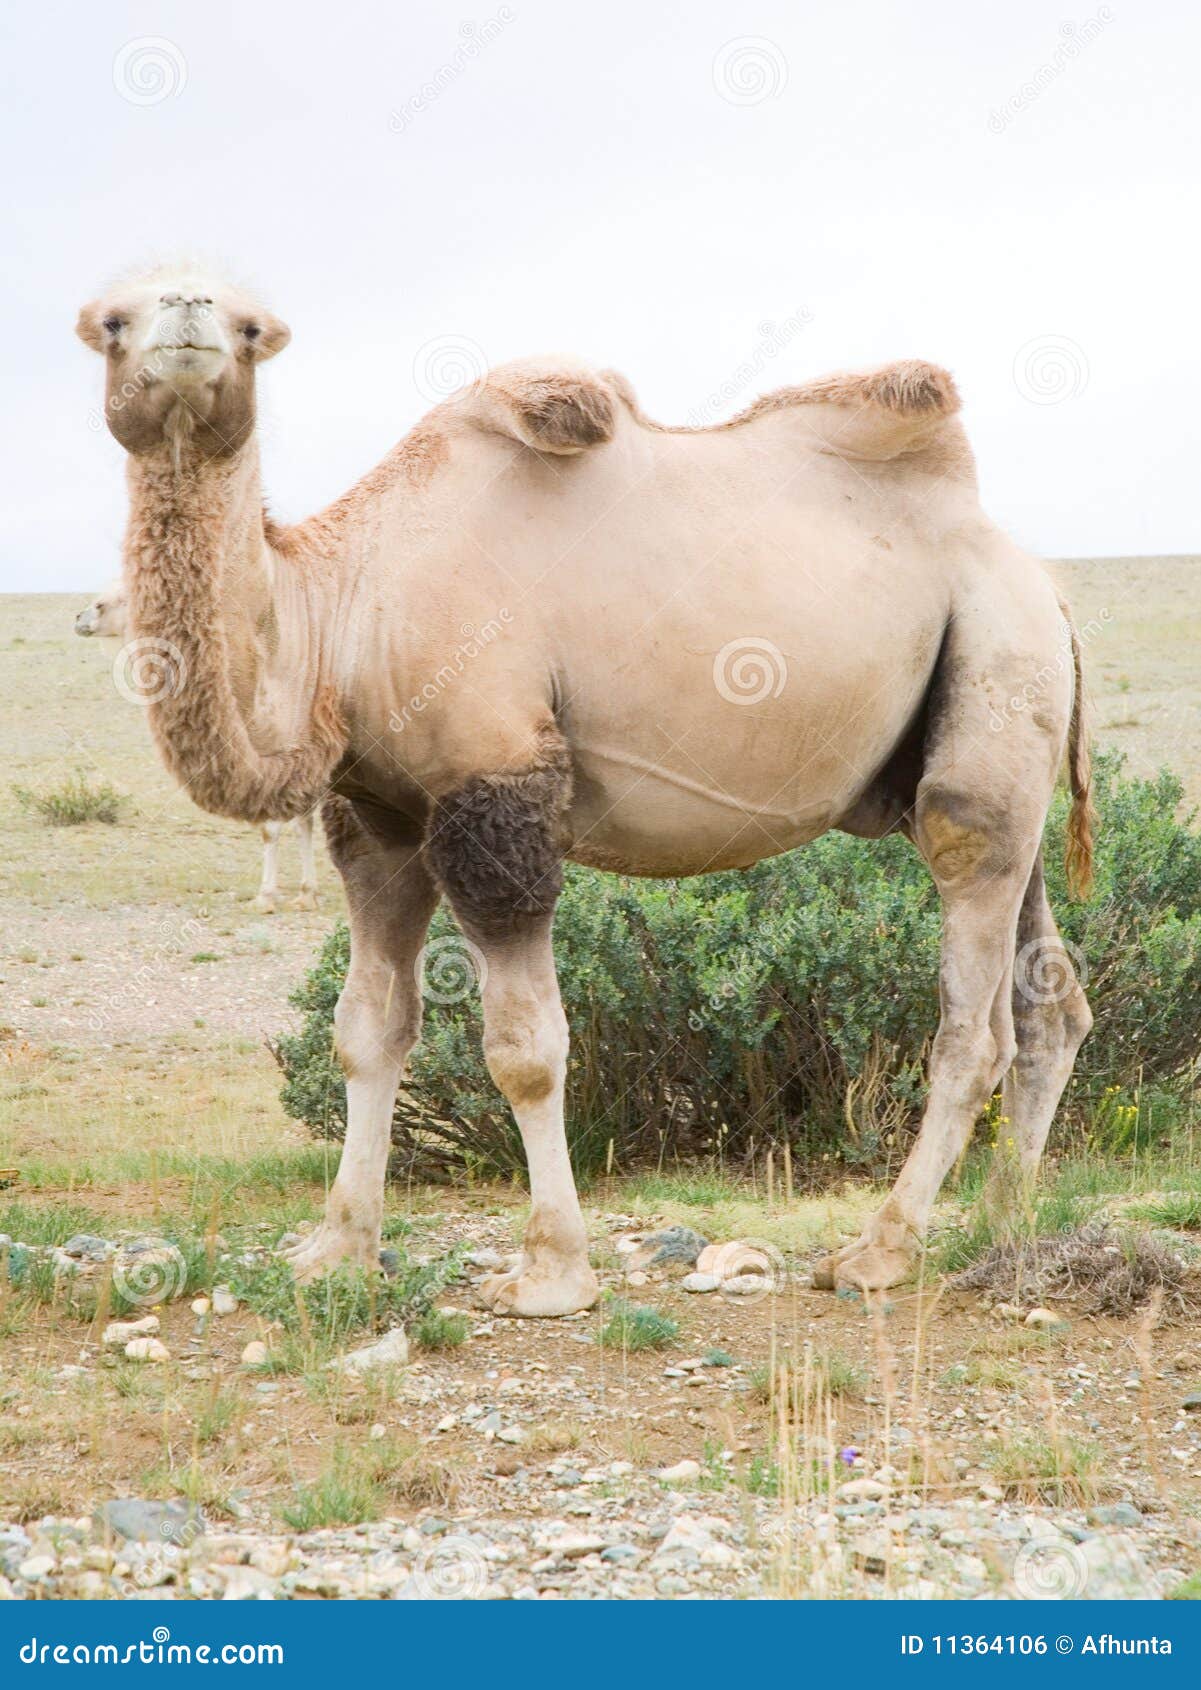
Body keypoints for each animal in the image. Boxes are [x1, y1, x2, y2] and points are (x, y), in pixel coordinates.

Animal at [74, 582, 319, 911]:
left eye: (101, 604)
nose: (78, 619)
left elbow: (276, 827)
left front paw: (267, 896)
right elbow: (297, 823)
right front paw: (304, 894)